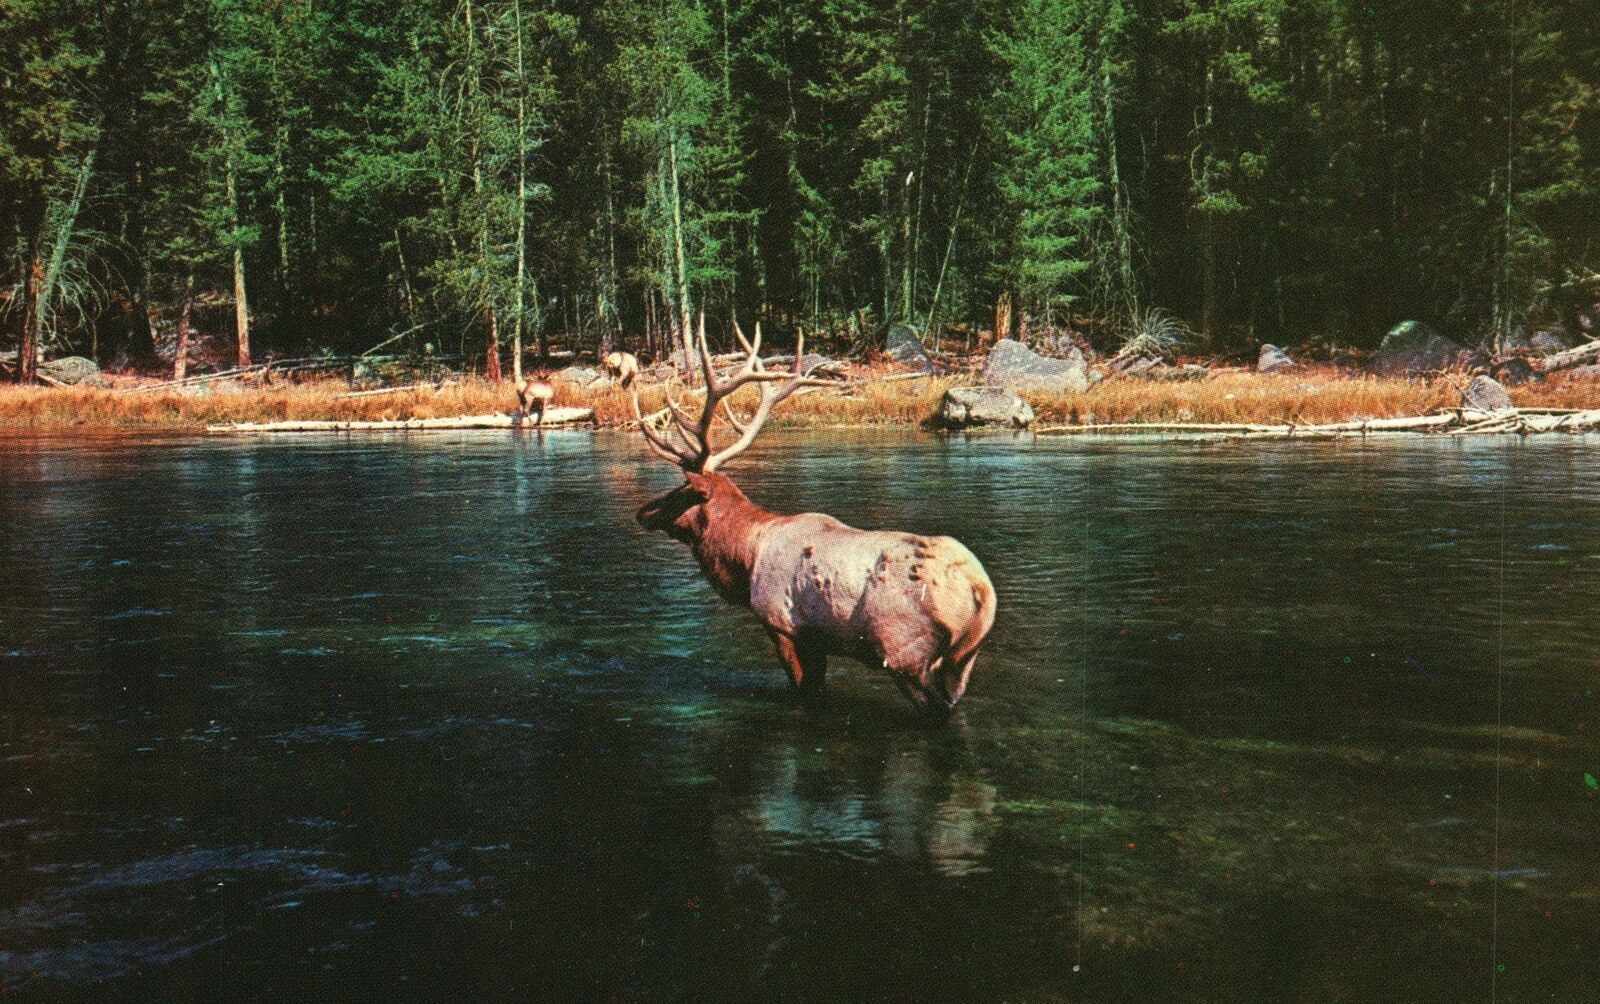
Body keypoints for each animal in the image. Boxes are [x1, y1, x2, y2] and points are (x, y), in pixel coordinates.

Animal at [632, 317, 997, 712]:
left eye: (680, 491)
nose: (642, 512)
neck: (744, 558)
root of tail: (980, 589)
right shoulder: (817, 640)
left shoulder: (782, 624)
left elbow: (805, 690)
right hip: (965, 659)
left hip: (905, 652)